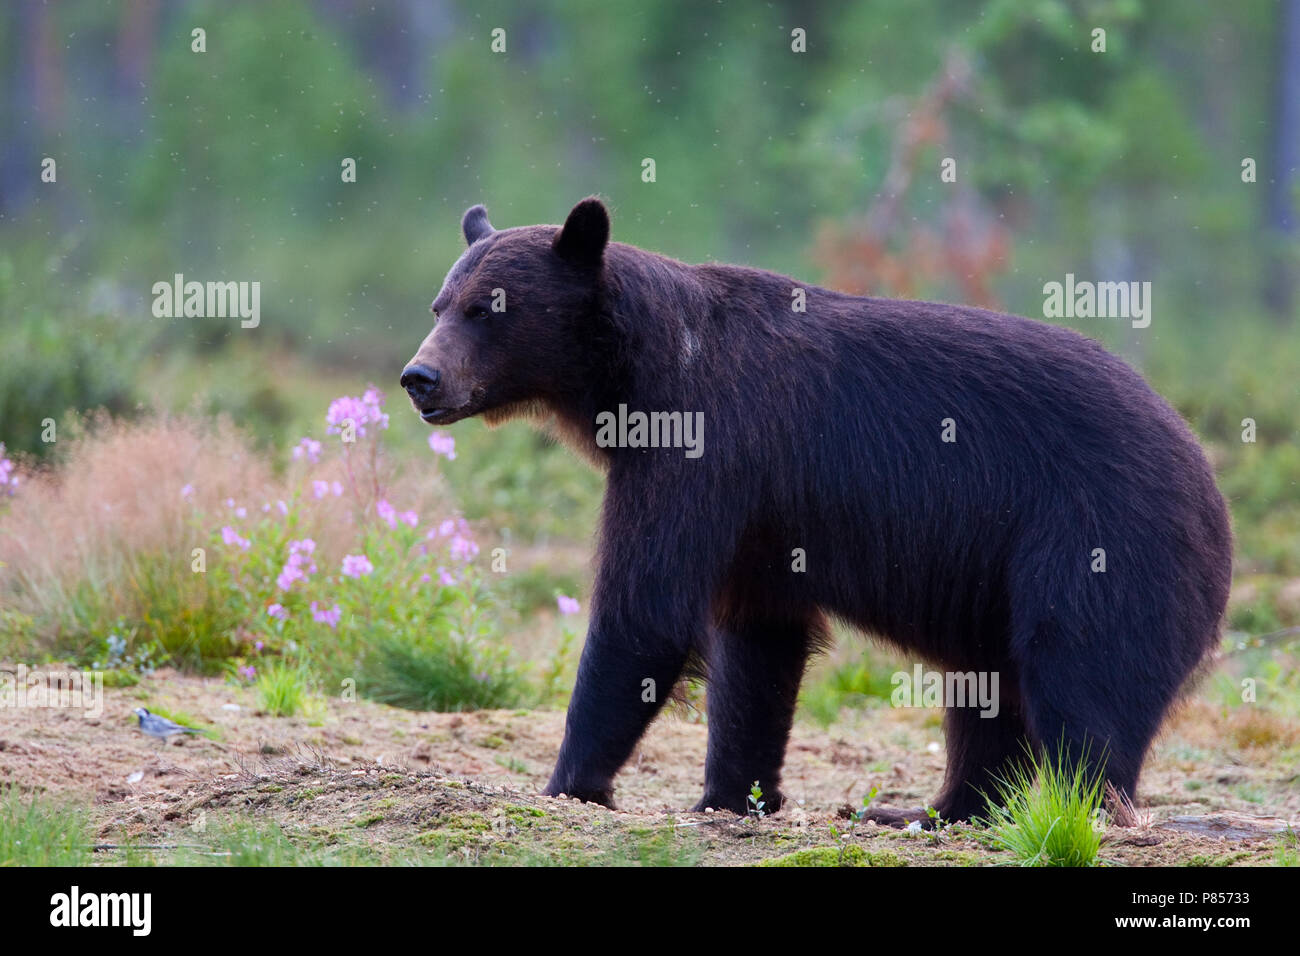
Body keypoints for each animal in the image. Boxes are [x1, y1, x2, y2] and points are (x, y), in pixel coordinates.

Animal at [401, 197, 1232, 822]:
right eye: (440, 303)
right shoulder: (761, 520)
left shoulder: (704, 450)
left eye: (487, 308)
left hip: (1098, 534)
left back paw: (1066, 802)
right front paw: (731, 793)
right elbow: (757, 646)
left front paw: (570, 782)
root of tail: (1207, 477)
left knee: (1080, 675)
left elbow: (646, 611)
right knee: (986, 690)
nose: (420, 377)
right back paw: (933, 808)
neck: (634, 379)